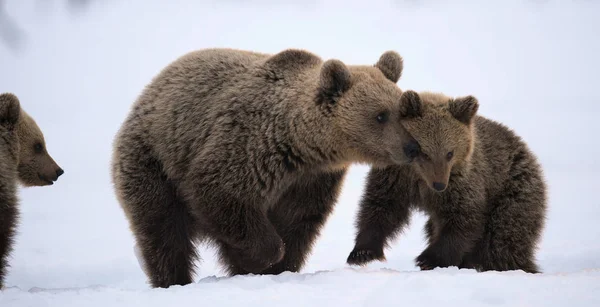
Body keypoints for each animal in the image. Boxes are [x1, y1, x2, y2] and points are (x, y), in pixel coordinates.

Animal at [110, 47, 414, 288]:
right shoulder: (249, 147)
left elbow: (298, 221)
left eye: (406, 110)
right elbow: (220, 192)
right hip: (154, 162)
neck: (301, 144)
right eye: (381, 115)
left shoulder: (310, 179)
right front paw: (263, 258)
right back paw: (172, 279)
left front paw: (276, 267)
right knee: (164, 231)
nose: (411, 147)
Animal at [346, 89, 548, 274]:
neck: (420, 180)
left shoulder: (461, 183)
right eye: (423, 152)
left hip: (513, 192)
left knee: (501, 240)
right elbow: (381, 208)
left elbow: (462, 220)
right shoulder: (395, 179)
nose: (439, 185)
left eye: (449, 153)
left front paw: (428, 259)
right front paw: (362, 252)